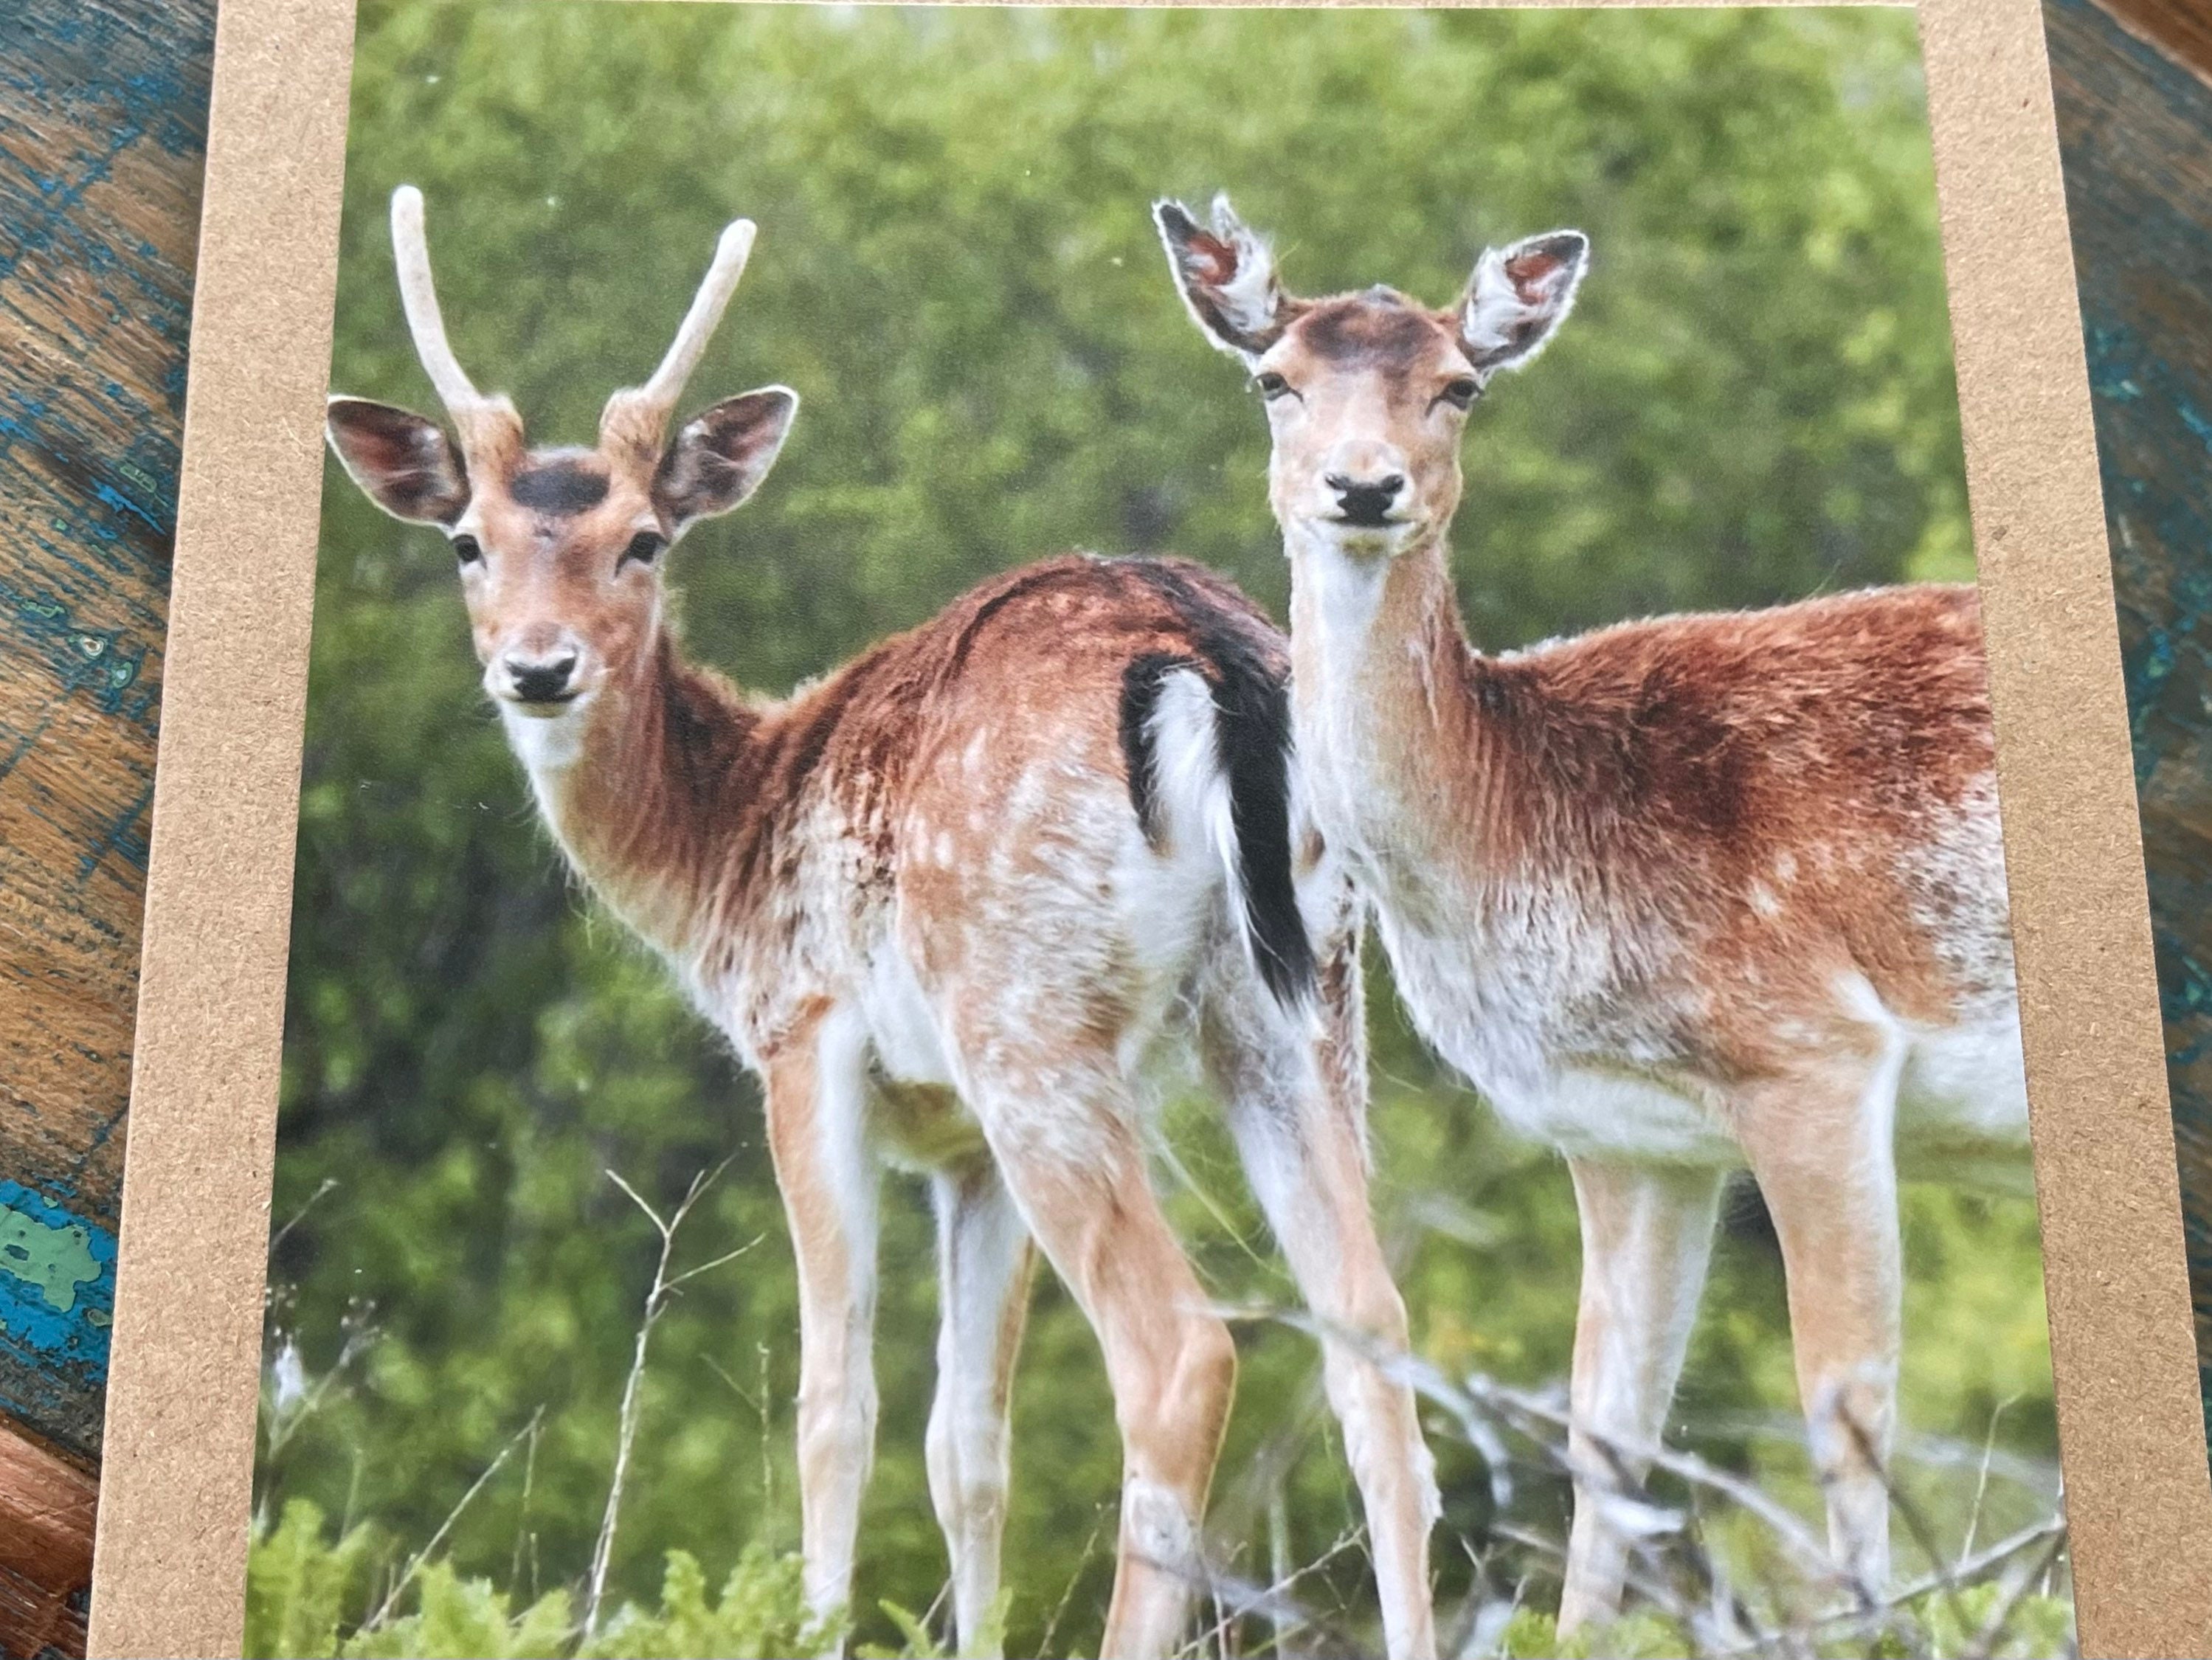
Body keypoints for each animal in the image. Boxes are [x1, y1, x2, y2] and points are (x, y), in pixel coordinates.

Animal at [322, 186, 1442, 1660]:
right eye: (468, 544)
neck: (727, 844)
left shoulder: (805, 1037)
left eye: (644, 540)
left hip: (1035, 1024)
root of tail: (1201, 658)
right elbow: (967, 1444)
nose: (538, 667)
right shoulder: (960, 1148)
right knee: (1371, 1335)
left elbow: (835, 1407)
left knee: (1183, 1351)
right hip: (1301, 1002)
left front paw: (806, 1620)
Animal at [1154, 195, 2031, 1632]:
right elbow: (1604, 1437)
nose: (1362, 486)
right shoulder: (1626, 1137)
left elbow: (1840, 1410)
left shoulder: (1814, 1052)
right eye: (1272, 379)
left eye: (1456, 385)